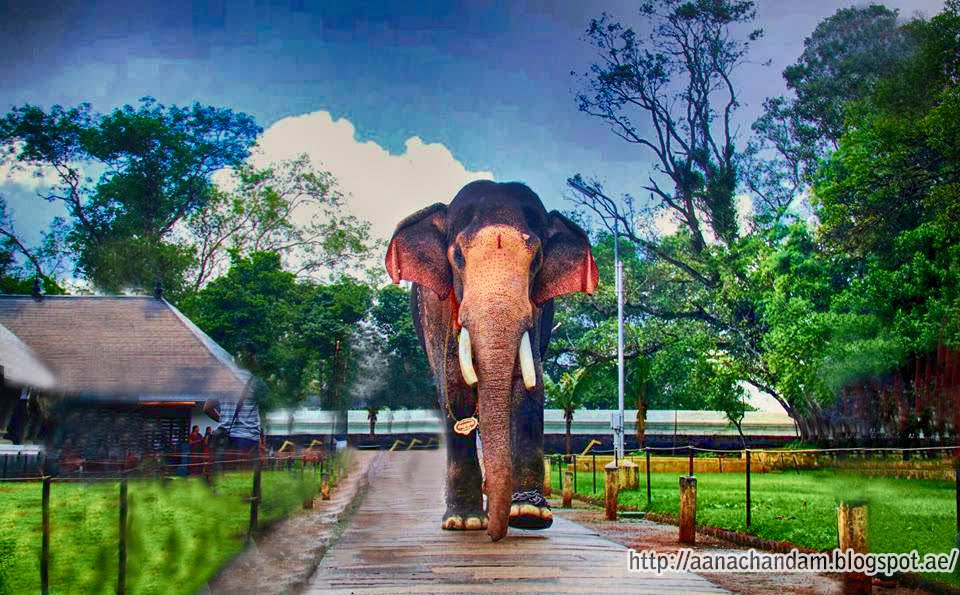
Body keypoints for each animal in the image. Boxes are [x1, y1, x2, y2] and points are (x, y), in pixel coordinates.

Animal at [385, 180, 598, 541]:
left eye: (537, 259)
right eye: (457, 255)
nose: (496, 534)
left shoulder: (536, 308)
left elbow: (530, 386)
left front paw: (529, 514)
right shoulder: (437, 307)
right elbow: (454, 387)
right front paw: (464, 521)